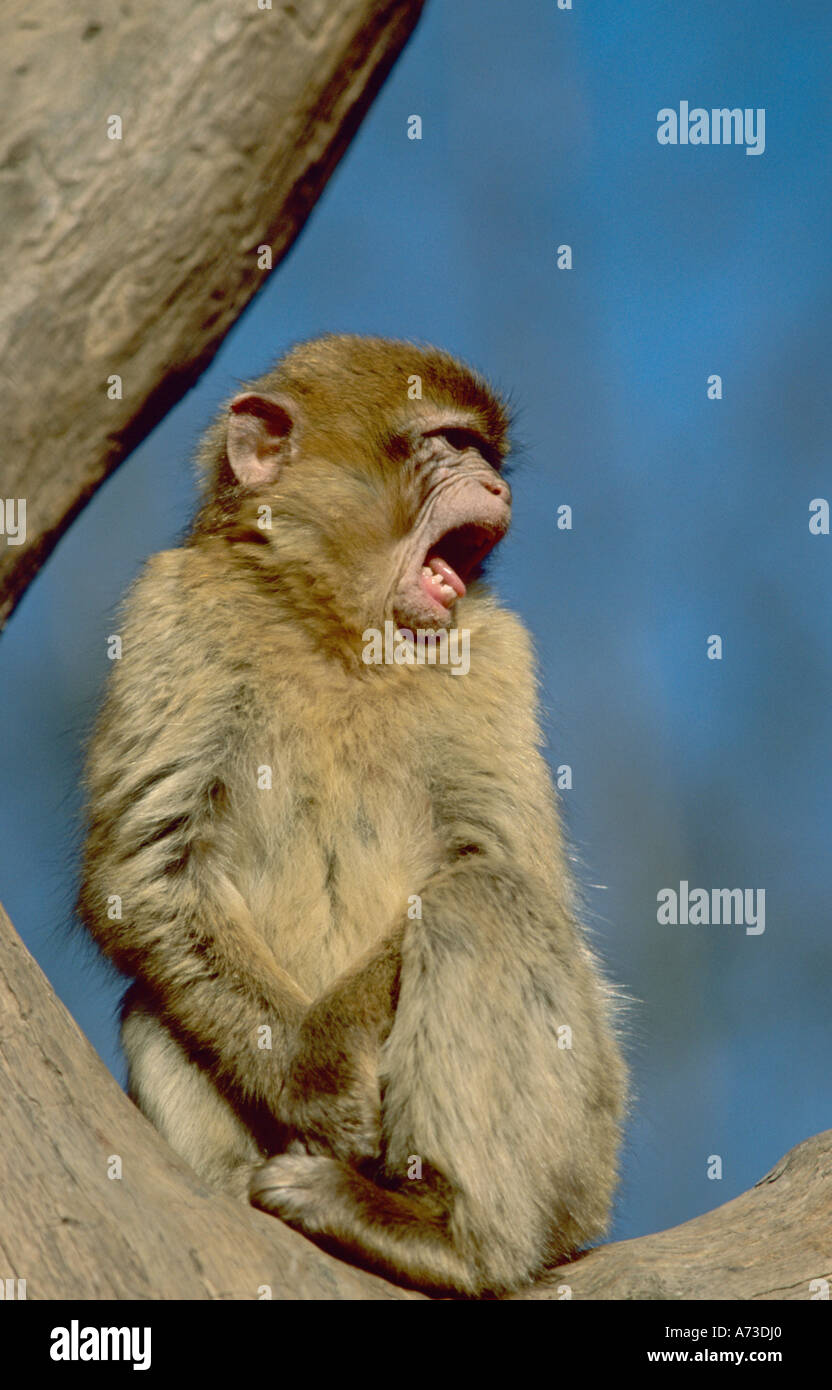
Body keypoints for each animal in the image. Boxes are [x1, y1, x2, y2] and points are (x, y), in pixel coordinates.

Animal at [79, 333, 627, 1297]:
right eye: (449, 445)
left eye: (486, 453)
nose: (498, 487)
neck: (339, 632)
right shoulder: (172, 607)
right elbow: (147, 871)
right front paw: (316, 1077)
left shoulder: (495, 649)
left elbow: (501, 860)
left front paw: (335, 1059)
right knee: (155, 991)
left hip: (585, 1159)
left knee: (485, 903)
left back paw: (444, 1234)